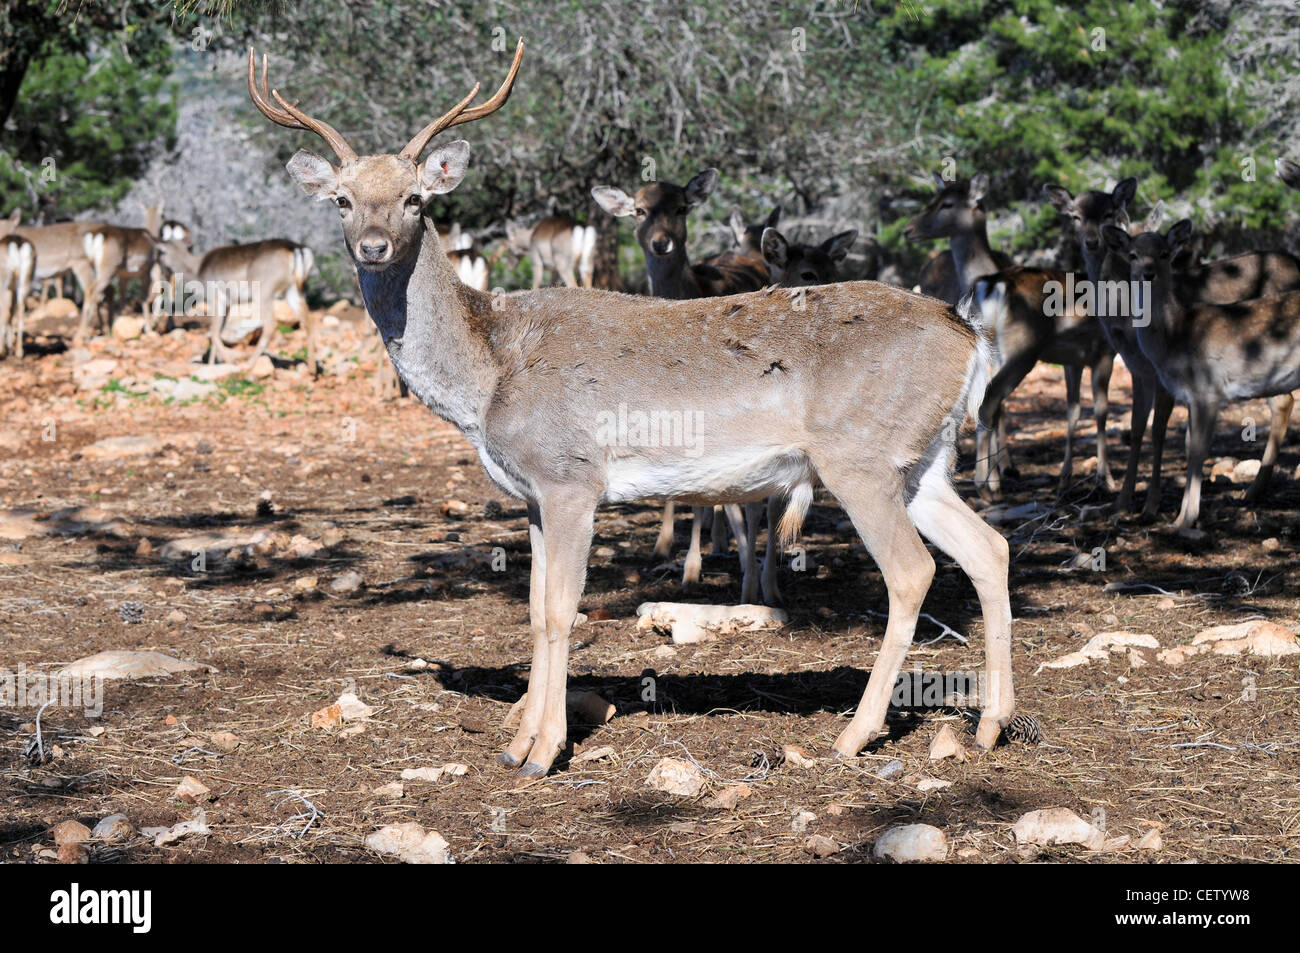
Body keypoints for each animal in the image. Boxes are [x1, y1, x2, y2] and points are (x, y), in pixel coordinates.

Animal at [154, 238, 316, 371]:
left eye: (160, 252)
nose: (160, 271)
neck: (197, 271)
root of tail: (295, 248)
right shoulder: (228, 305)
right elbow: (218, 333)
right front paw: (212, 365)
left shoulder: (216, 299)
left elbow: (214, 333)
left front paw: (229, 362)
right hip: (293, 290)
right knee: (307, 321)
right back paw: (312, 369)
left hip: (263, 292)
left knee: (270, 324)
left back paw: (249, 365)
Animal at [248, 39, 1014, 779]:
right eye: (342, 200)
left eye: (414, 199)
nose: (373, 247)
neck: (488, 373)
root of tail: (967, 334)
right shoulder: (532, 495)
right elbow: (533, 612)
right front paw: (516, 742)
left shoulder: (571, 475)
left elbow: (563, 611)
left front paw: (542, 751)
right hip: (921, 461)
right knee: (989, 546)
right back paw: (989, 726)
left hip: (858, 456)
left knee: (913, 570)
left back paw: (855, 735)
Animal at [911, 175, 1119, 500]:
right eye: (1075, 216)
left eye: (946, 204)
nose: (908, 229)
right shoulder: (1105, 351)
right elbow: (1100, 410)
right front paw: (1105, 479)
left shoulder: (1073, 359)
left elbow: (1073, 410)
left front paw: (1065, 479)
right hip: (1022, 348)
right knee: (989, 400)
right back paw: (986, 486)